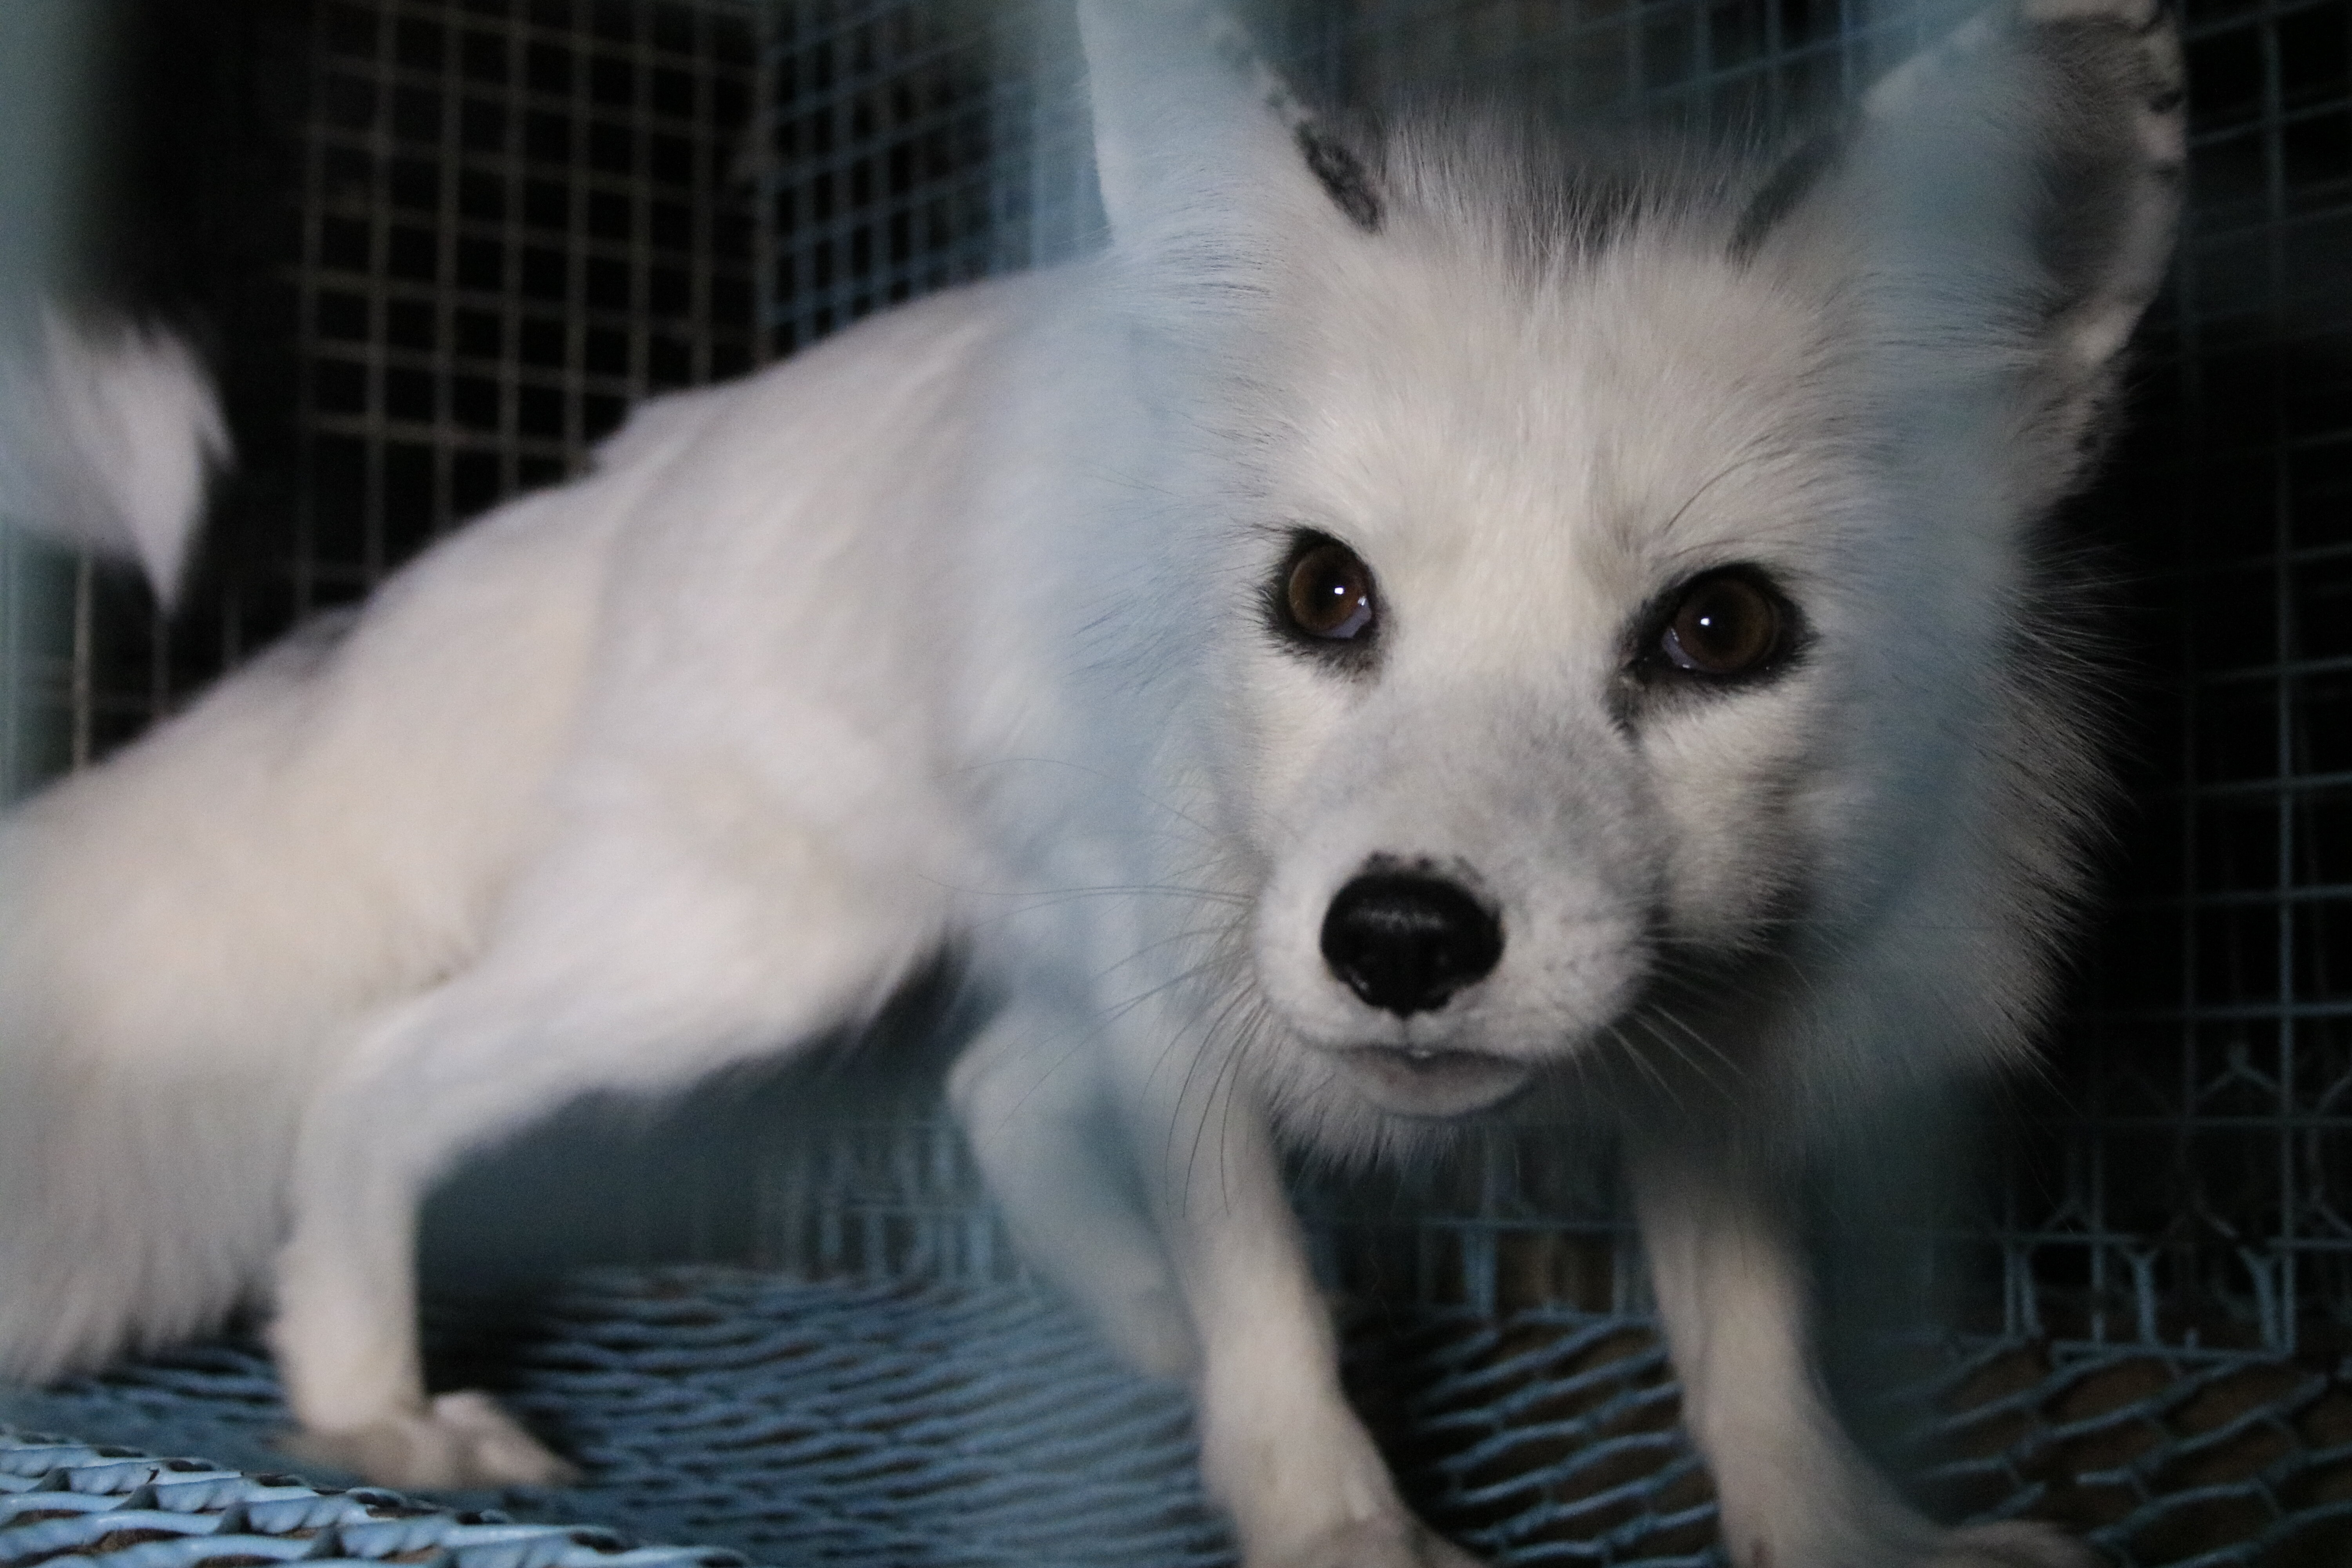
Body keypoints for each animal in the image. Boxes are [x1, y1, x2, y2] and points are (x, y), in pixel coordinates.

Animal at [0, 2, 2182, 1565]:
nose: (1402, 936)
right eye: (1321, 593)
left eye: (1717, 631)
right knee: (376, 1069)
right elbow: (1274, 1300)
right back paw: (372, 1402)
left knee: (990, 1086)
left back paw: (1140, 1343)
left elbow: (1751, 1347)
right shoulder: (1201, 1000)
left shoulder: (1716, 1032)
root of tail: (663, 446)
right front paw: (1335, 1523)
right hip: (748, 955)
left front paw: (1844, 1532)